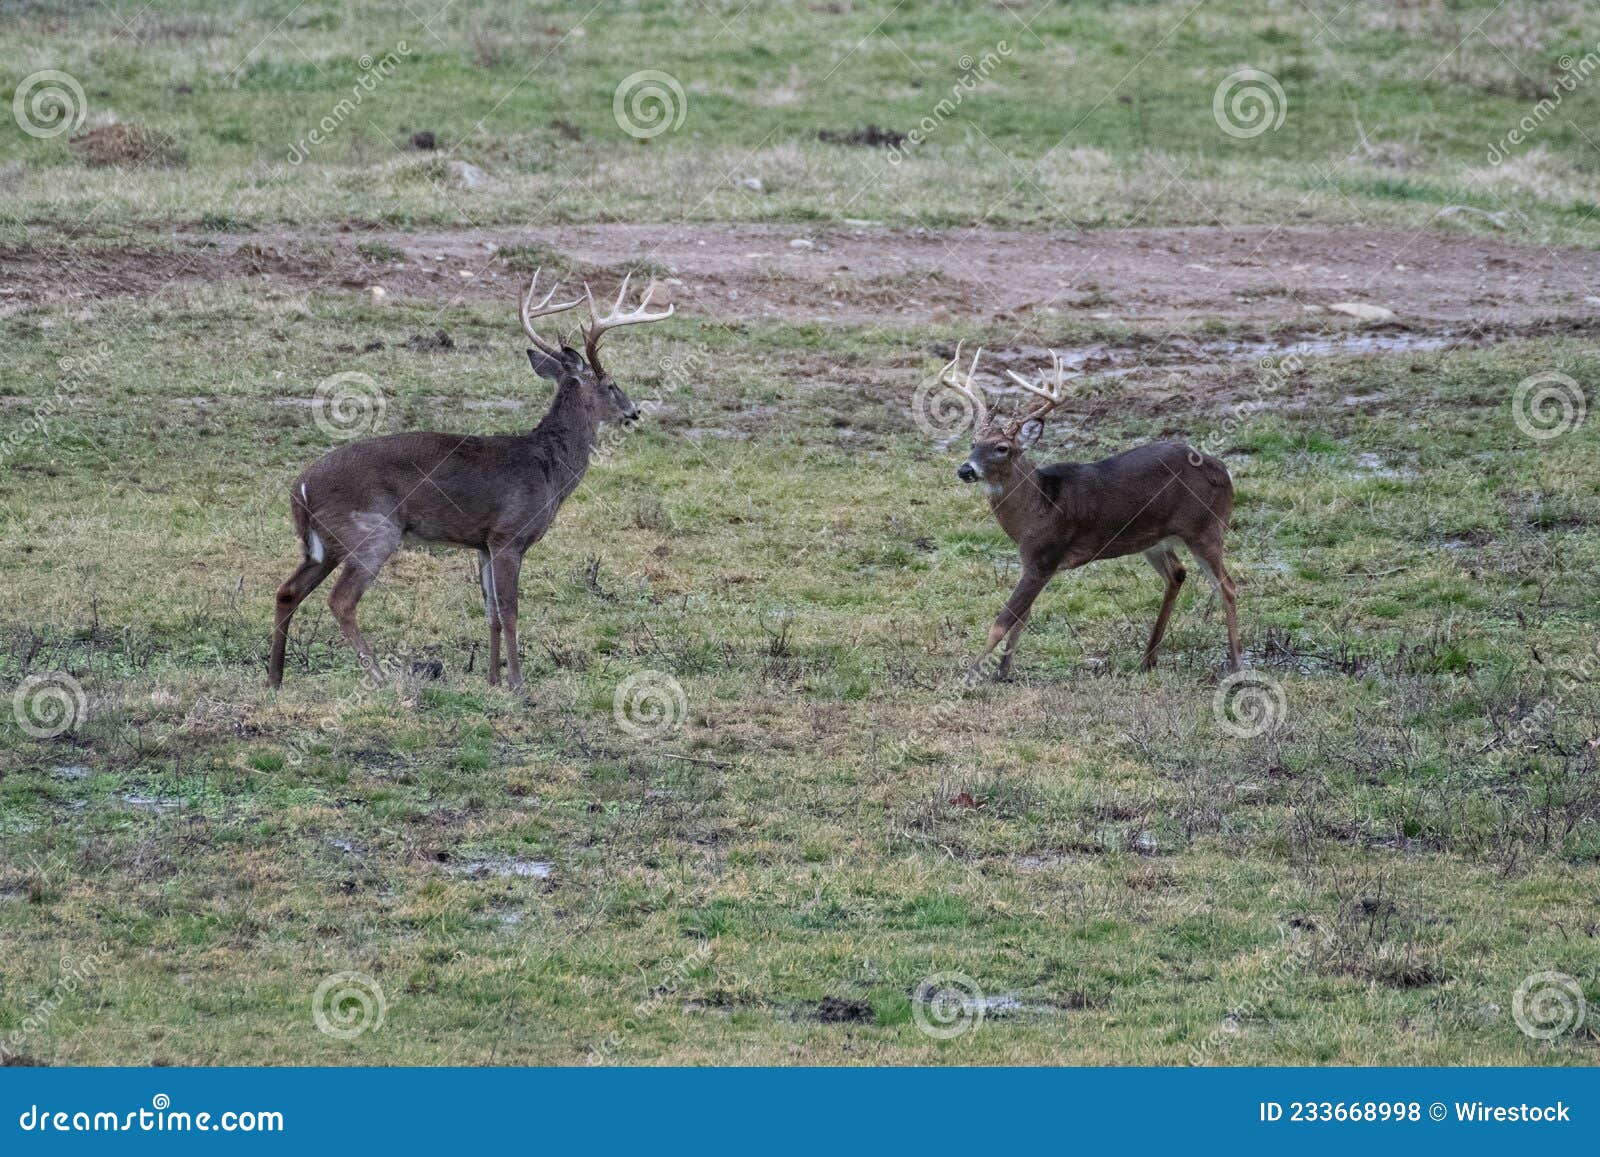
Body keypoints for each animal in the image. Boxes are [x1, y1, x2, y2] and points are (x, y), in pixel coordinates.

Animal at [267, 270, 673, 691]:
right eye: (610, 383)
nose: (634, 411)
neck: (550, 469)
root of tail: (300, 489)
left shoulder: (483, 541)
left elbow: (490, 611)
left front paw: (492, 678)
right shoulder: (509, 534)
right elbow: (510, 610)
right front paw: (517, 684)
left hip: (323, 546)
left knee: (287, 590)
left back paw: (275, 677)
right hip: (372, 532)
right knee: (340, 600)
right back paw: (378, 677)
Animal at [937, 344, 1241, 680]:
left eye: (1002, 448)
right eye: (973, 443)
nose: (965, 470)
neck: (1037, 508)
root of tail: (1223, 470)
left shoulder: (1045, 556)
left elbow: (1003, 620)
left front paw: (970, 675)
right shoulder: (1030, 560)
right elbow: (1021, 617)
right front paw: (1002, 672)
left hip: (1205, 527)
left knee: (1228, 586)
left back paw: (1236, 664)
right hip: (1155, 540)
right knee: (1177, 574)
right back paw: (1147, 660)